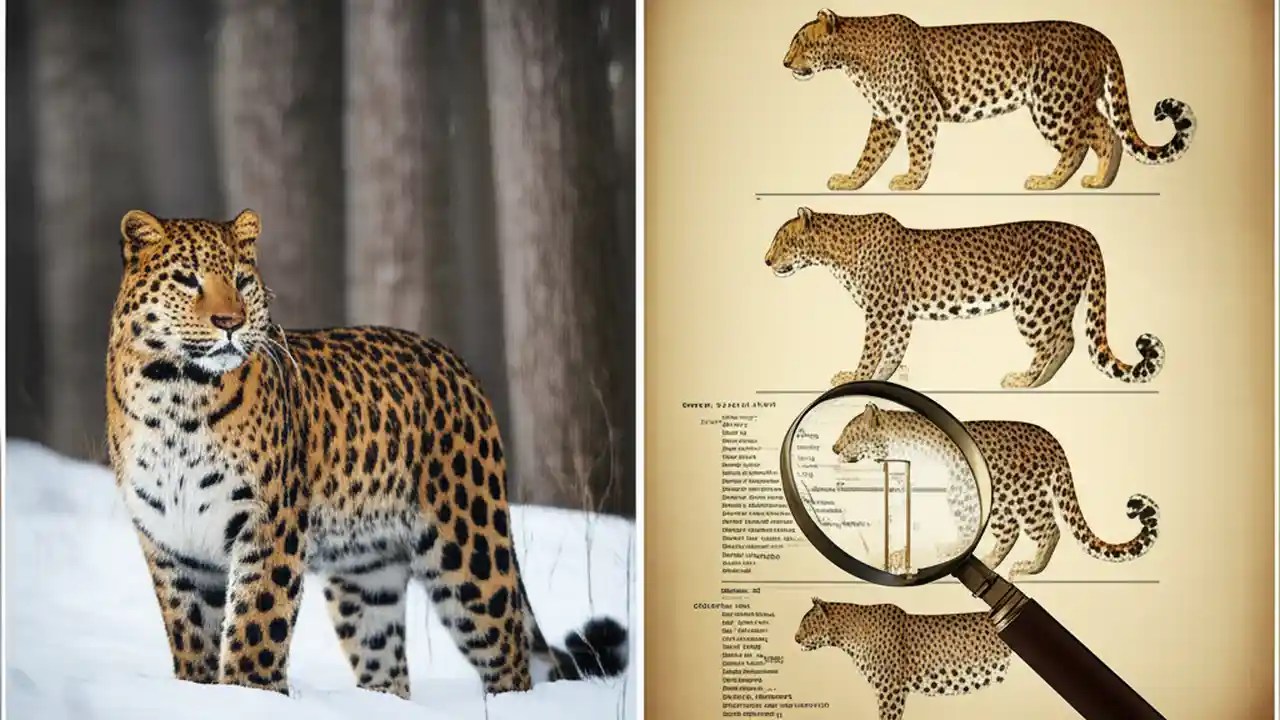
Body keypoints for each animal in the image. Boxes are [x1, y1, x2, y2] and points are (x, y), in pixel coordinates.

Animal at [105, 209, 628, 698]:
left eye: (242, 280)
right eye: (187, 280)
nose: (230, 323)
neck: (176, 395)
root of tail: (457, 363)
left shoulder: (269, 522)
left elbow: (258, 623)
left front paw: (250, 693)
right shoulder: (171, 541)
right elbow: (192, 634)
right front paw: (200, 691)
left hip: (469, 546)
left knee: (509, 648)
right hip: (366, 574)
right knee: (388, 665)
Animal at [764, 208, 1166, 389]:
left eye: (783, 241)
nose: (766, 260)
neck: (837, 253)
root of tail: (1085, 234)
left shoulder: (881, 312)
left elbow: (871, 349)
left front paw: (855, 376)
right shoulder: (899, 316)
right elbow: (892, 352)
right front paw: (881, 379)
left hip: (1034, 302)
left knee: (1059, 340)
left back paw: (1026, 380)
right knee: (1065, 338)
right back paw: (1039, 381)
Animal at [782, 9, 1197, 191]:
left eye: (800, 42)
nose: (784, 62)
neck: (852, 59)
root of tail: (1098, 35)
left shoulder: (919, 110)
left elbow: (918, 150)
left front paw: (912, 181)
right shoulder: (886, 117)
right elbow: (869, 154)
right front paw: (850, 181)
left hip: (1054, 104)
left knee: (1081, 141)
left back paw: (1049, 181)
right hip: (1073, 102)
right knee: (1106, 132)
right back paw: (1099, 181)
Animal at [833, 402, 1160, 576]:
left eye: (849, 433)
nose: (834, 447)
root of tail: (1049, 437)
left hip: (1025, 496)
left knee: (1049, 529)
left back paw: (1030, 568)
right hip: (1003, 502)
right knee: (1010, 531)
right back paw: (991, 561)